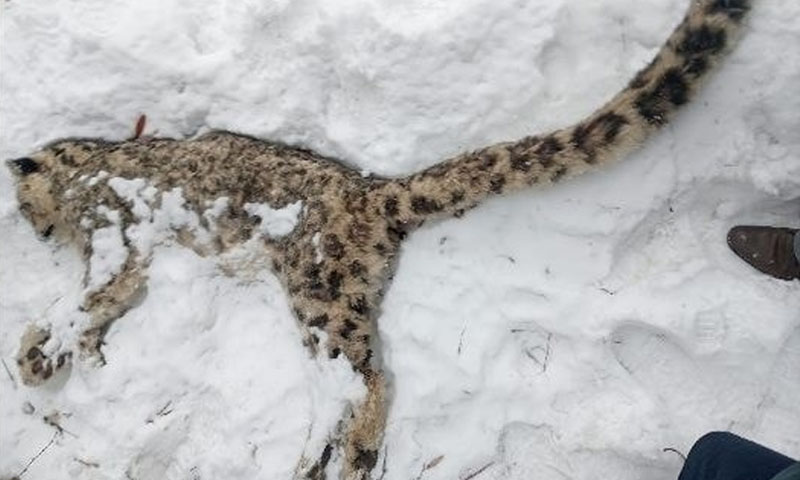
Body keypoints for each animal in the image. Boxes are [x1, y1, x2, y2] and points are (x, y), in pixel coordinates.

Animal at [6, 1, 750, 478]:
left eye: (18, 204)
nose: (37, 234)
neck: (82, 177)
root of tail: (371, 193)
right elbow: (84, 313)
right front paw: (61, 350)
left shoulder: (113, 247)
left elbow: (85, 300)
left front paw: (39, 358)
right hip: (325, 312)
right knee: (339, 391)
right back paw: (314, 463)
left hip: (322, 299)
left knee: (366, 385)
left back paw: (346, 463)